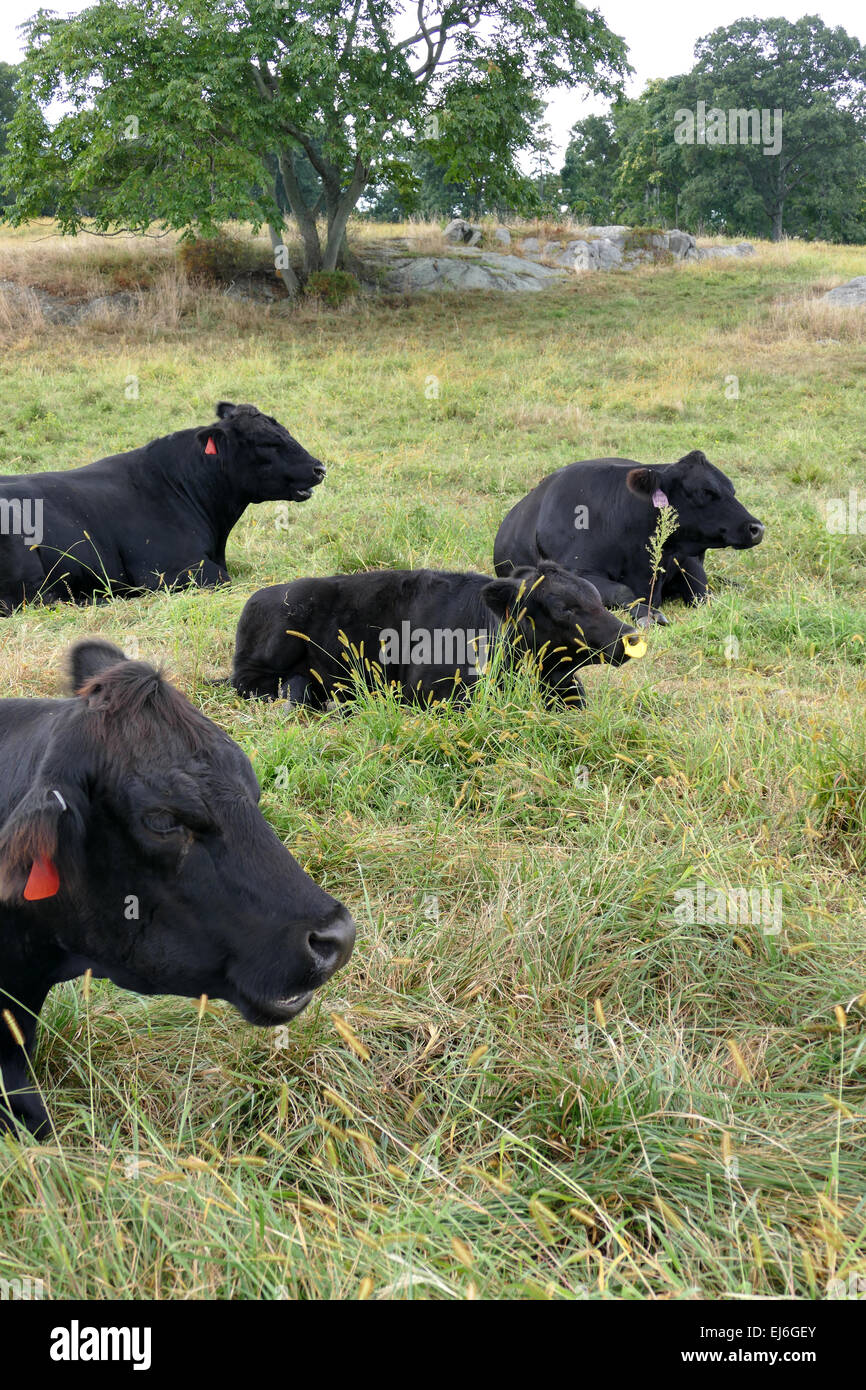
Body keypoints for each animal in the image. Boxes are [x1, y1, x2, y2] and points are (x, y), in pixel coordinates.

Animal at [230, 563, 647, 710]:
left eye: (597, 599)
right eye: (564, 608)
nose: (630, 636)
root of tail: (261, 595)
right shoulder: (433, 691)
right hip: (266, 657)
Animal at [493, 450, 764, 624]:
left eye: (732, 490)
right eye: (704, 491)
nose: (756, 528)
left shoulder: (686, 560)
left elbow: (702, 592)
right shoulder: (575, 571)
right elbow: (620, 591)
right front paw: (647, 614)